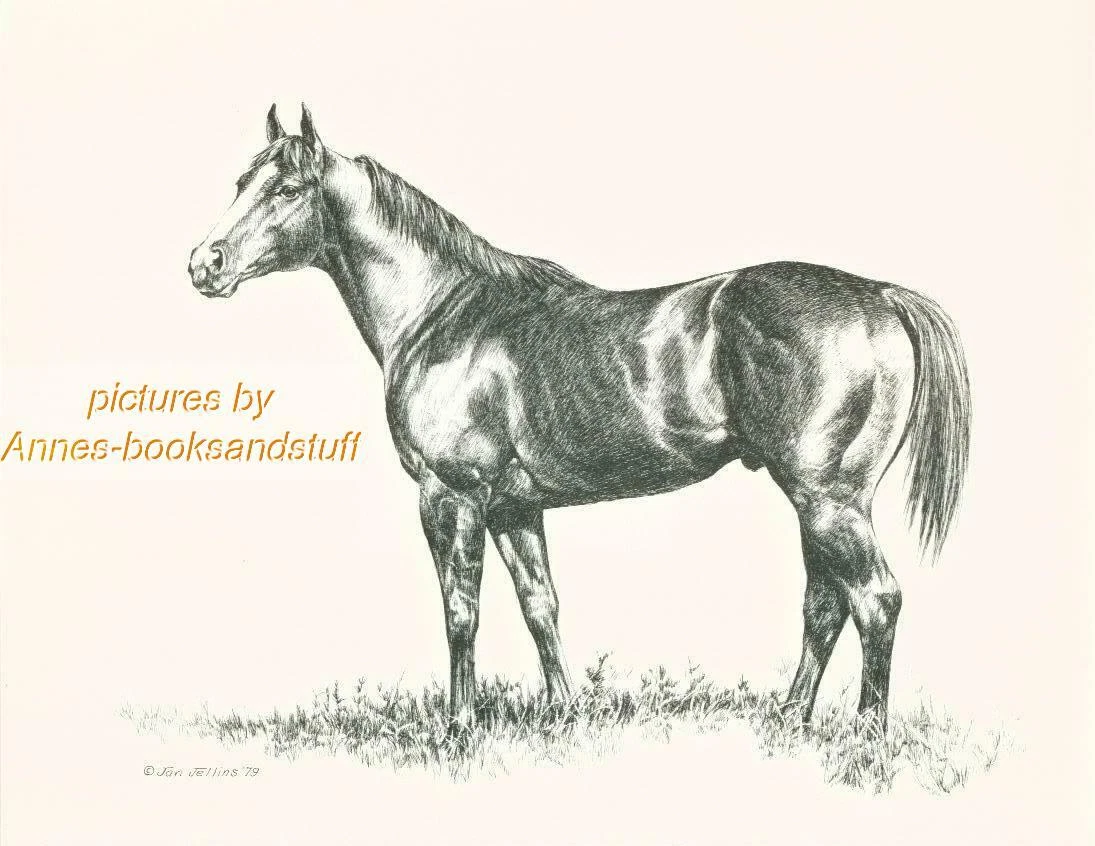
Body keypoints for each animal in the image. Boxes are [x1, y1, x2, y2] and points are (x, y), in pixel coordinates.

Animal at [189, 104, 970, 731]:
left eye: (287, 188)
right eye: (241, 183)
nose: (205, 263)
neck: (446, 314)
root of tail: (878, 294)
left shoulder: (451, 497)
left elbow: (461, 611)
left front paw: (458, 727)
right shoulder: (514, 507)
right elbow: (540, 606)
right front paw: (563, 712)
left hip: (828, 498)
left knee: (875, 600)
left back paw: (865, 735)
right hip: (823, 502)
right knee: (826, 605)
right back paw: (788, 722)